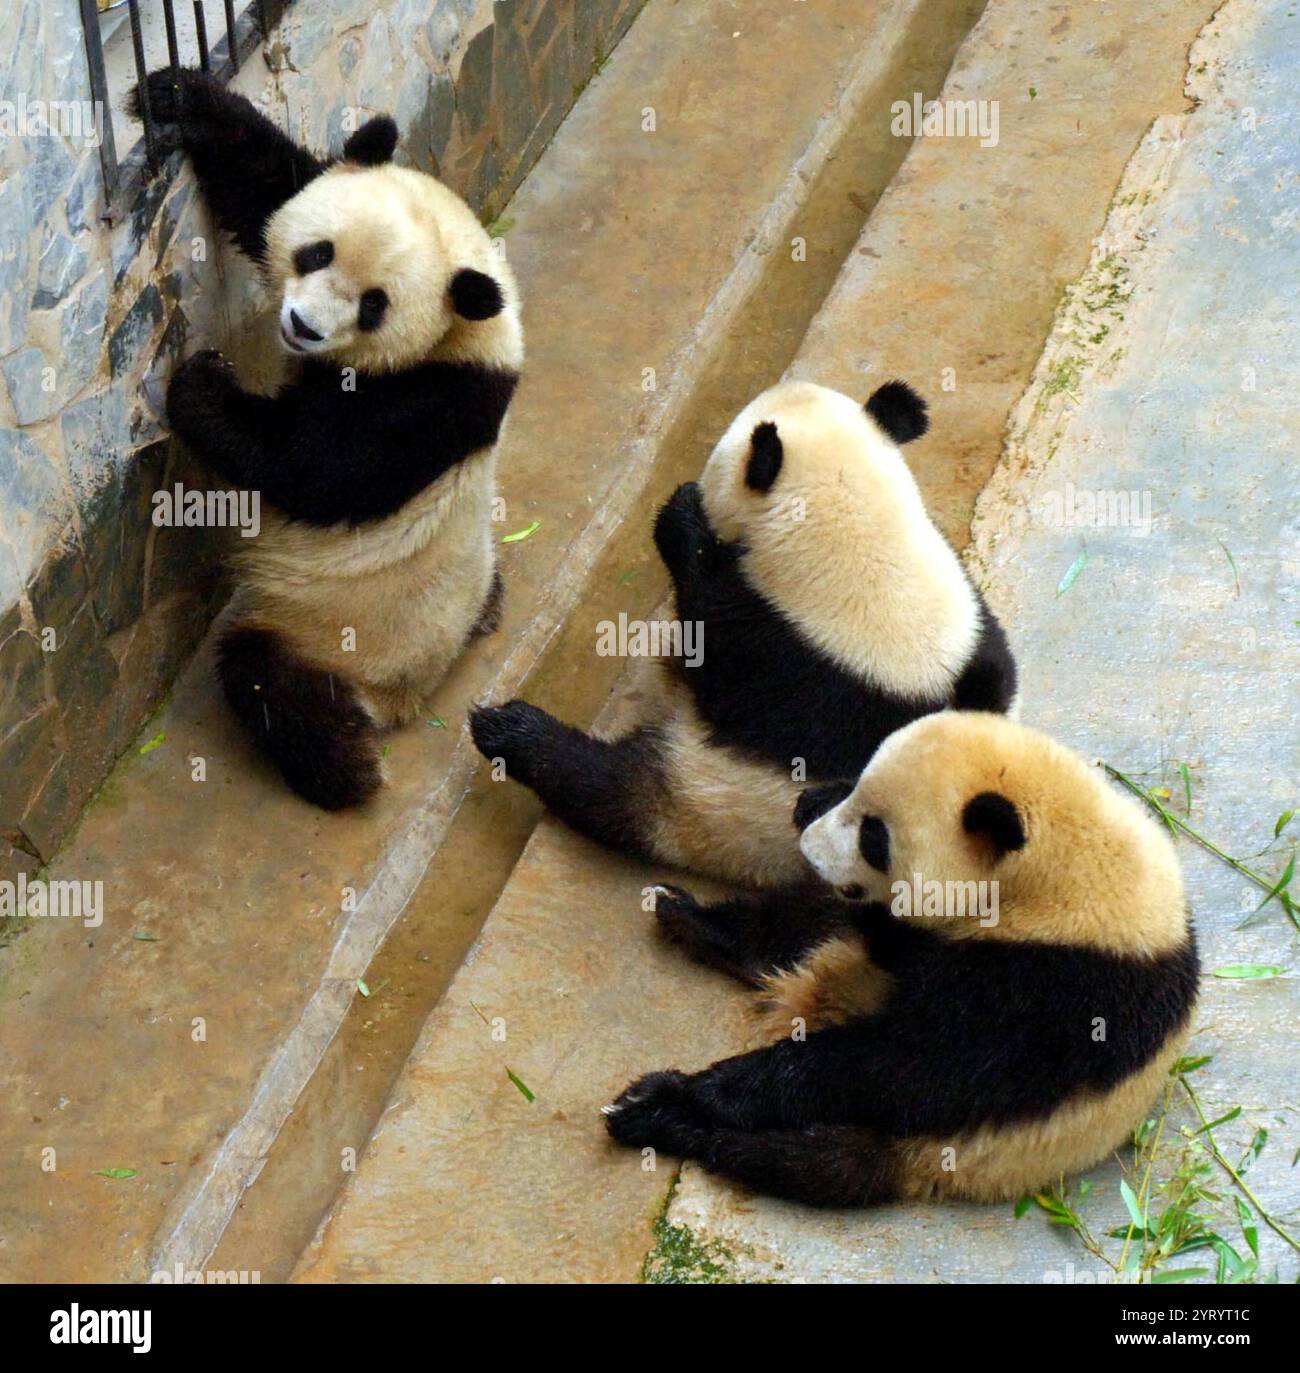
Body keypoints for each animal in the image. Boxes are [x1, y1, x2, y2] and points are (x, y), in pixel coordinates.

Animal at [130, 69, 524, 809]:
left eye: (374, 305)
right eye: (318, 252)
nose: (302, 326)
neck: (468, 329)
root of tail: (406, 695)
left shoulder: (436, 394)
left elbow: (313, 471)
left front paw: (201, 383)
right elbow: (268, 183)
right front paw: (176, 94)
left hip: (329, 633)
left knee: (269, 677)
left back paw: (344, 768)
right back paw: (487, 612)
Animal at [470, 380, 1015, 886]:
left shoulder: (773, 658)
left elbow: (708, 627)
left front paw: (681, 516)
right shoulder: (979, 638)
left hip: (707, 801)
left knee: (601, 786)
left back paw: (511, 731)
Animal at [604, 711, 1200, 1208]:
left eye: (876, 836)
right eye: (858, 785)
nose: (810, 845)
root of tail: (816, 996)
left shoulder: (1059, 987)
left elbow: (915, 1067)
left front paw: (711, 1090)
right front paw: (812, 801)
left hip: (921, 1150)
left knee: (808, 1159)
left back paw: (663, 1111)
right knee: (807, 920)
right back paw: (689, 921)